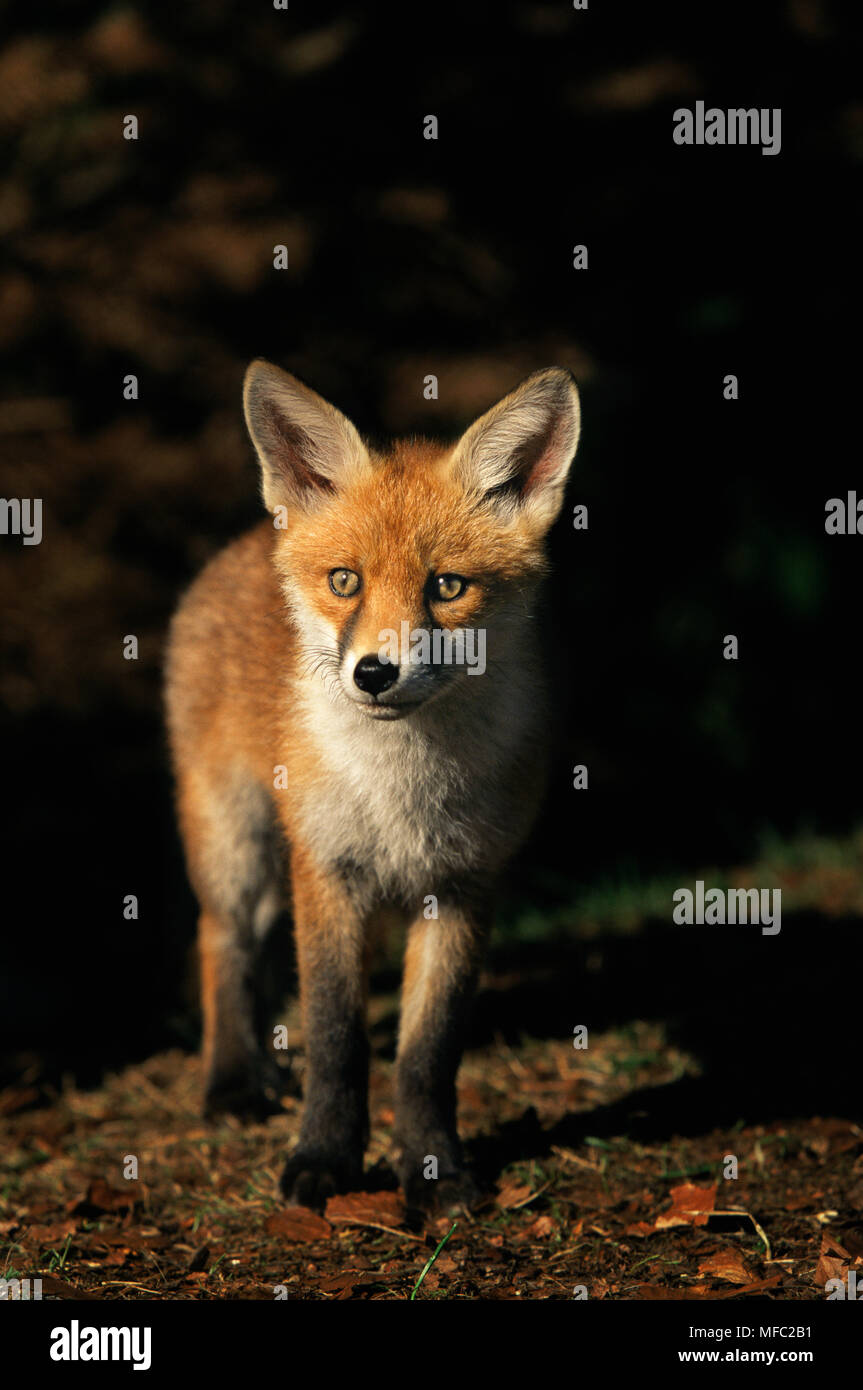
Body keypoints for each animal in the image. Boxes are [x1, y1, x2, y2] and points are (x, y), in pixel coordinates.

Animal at [164, 359, 581, 1212]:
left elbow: (426, 1054)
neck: (403, 792)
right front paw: (323, 1160)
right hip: (235, 839)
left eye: (447, 587)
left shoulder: (463, 885)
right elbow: (335, 1038)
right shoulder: (327, 869)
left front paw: (433, 1170)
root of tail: (248, 538)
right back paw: (233, 1080)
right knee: (222, 940)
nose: (375, 674)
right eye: (345, 580)